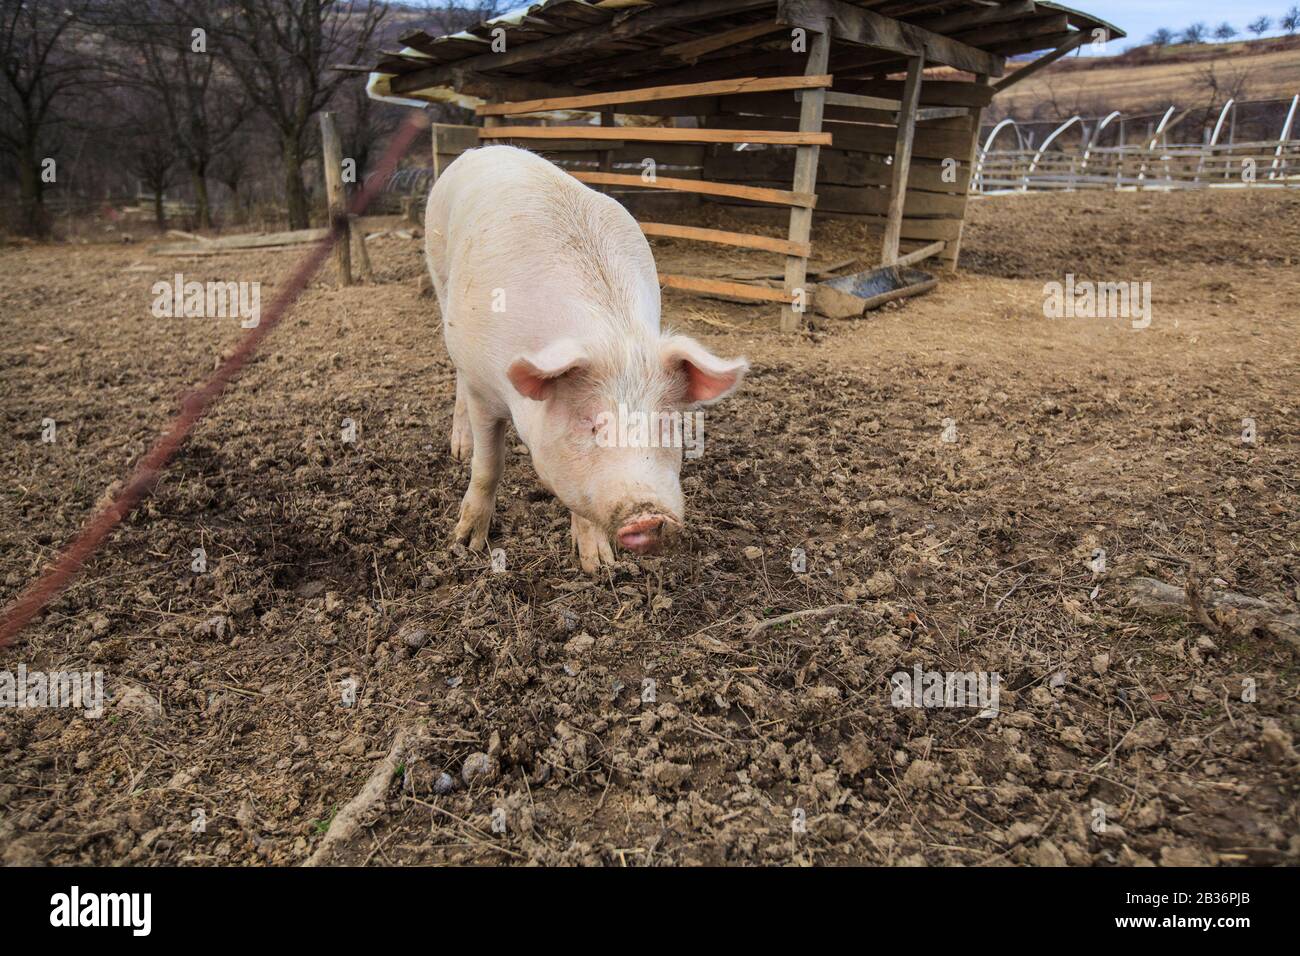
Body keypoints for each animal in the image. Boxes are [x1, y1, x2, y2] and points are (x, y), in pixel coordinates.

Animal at [424, 145, 748, 572]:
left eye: (666, 424)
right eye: (591, 425)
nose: (650, 516)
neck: (612, 338)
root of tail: (485, 148)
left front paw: (599, 565)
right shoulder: (483, 389)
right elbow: (488, 466)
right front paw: (465, 545)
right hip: (440, 278)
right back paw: (458, 451)